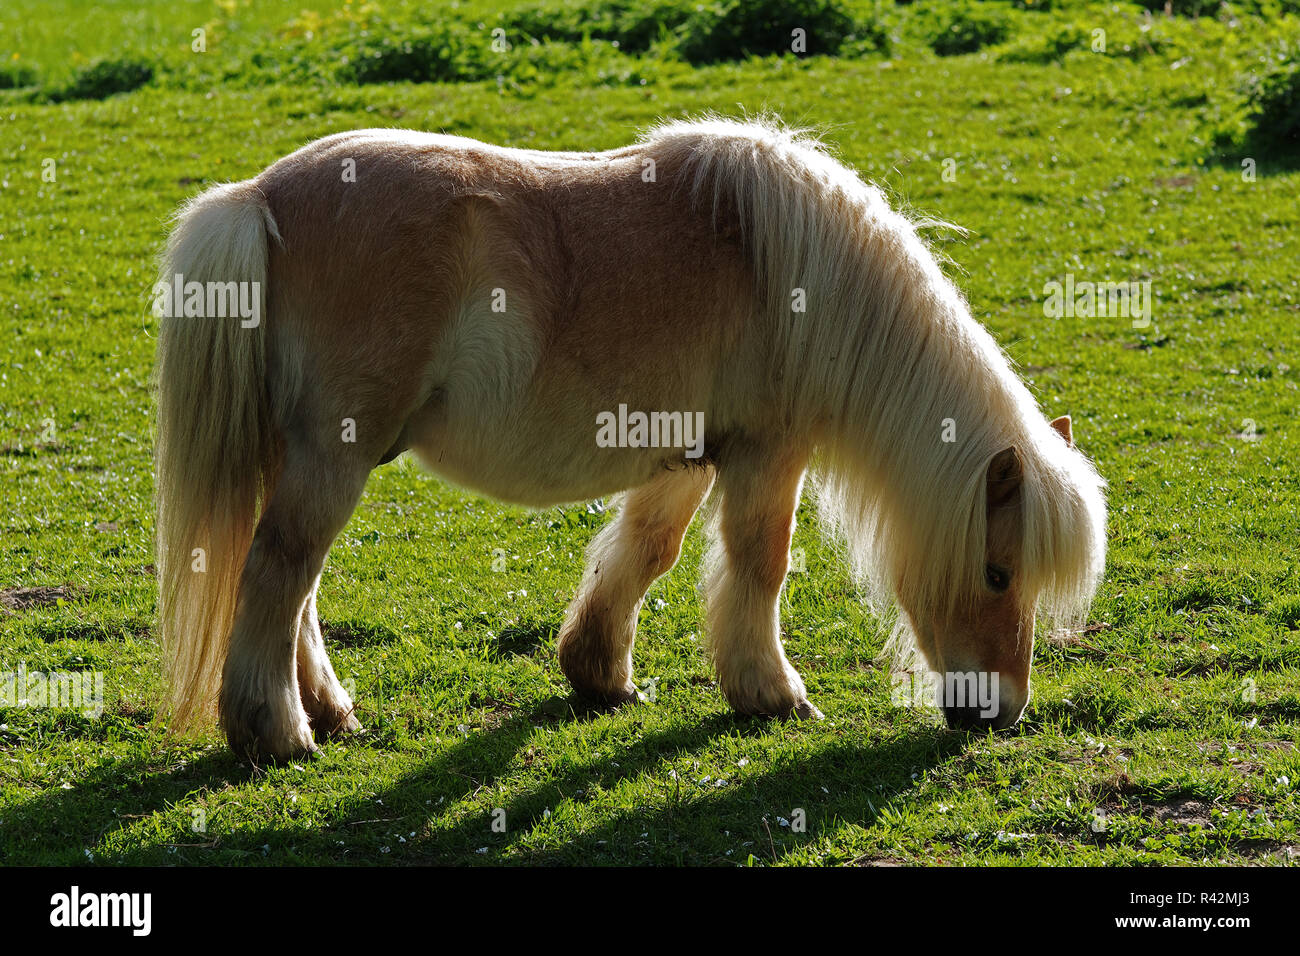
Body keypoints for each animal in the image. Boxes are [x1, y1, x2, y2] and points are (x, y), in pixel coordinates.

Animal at [153, 117, 1107, 762]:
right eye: (997, 573)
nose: (1001, 710)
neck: (792, 276)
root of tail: (259, 200)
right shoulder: (766, 452)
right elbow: (761, 562)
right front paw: (771, 694)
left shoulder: (684, 456)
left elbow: (647, 551)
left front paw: (600, 674)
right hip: (335, 457)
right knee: (280, 573)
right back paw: (278, 733)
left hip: (313, 455)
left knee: (295, 589)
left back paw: (331, 712)